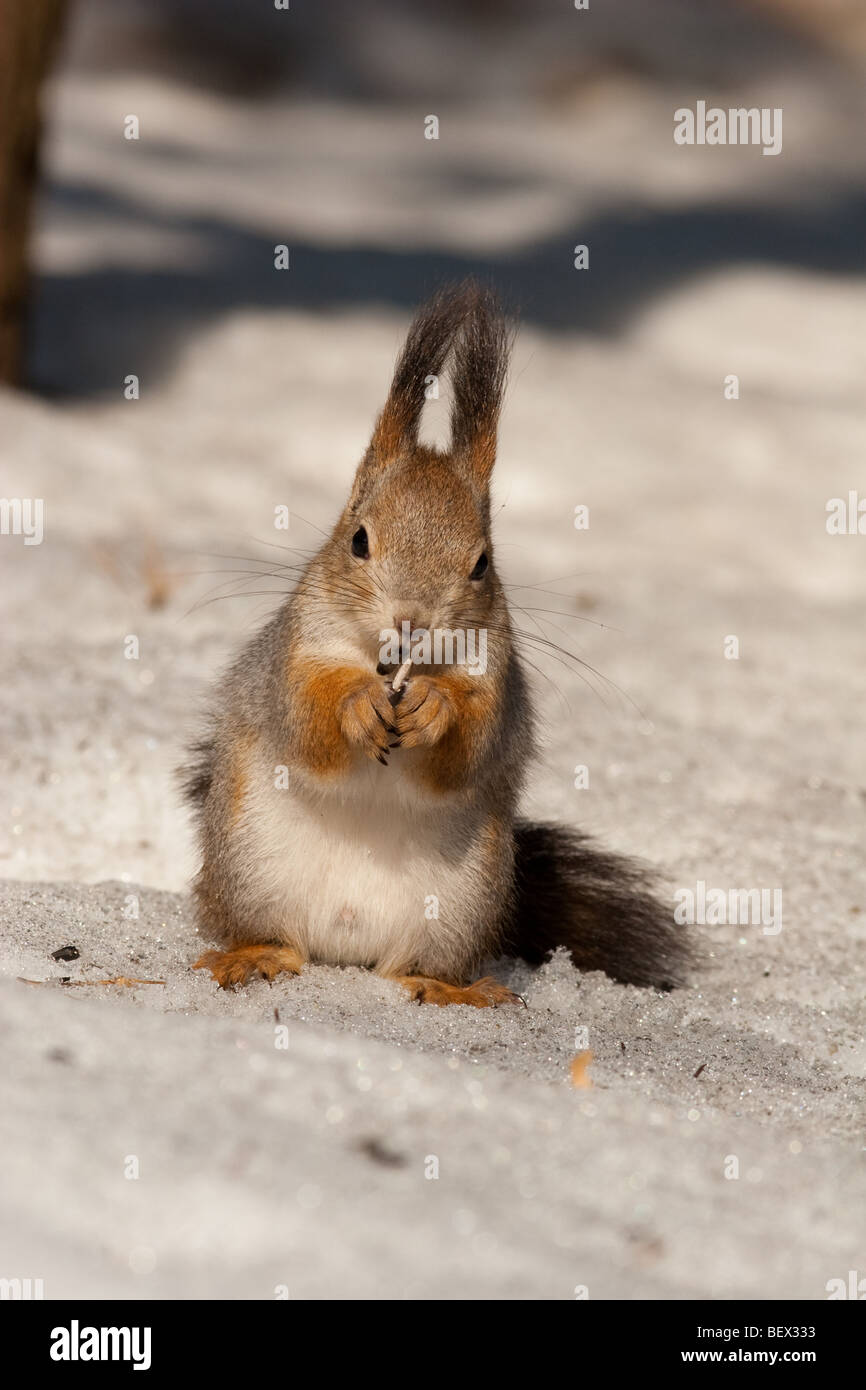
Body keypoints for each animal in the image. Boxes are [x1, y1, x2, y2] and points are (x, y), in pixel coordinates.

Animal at [182, 282, 690, 1005]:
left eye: (481, 563)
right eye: (357, 539)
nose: (412, 621)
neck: (387, 664)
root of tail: (347, 944)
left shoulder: (496, 681)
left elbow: (470, 745)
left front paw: (433, 709)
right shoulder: (291, 657)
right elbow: (305, 720)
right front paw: (357, 705)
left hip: (459, 902)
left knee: (410, 966)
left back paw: (448, 989)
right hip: (250, 867)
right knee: (275, 936)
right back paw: (253, 956)